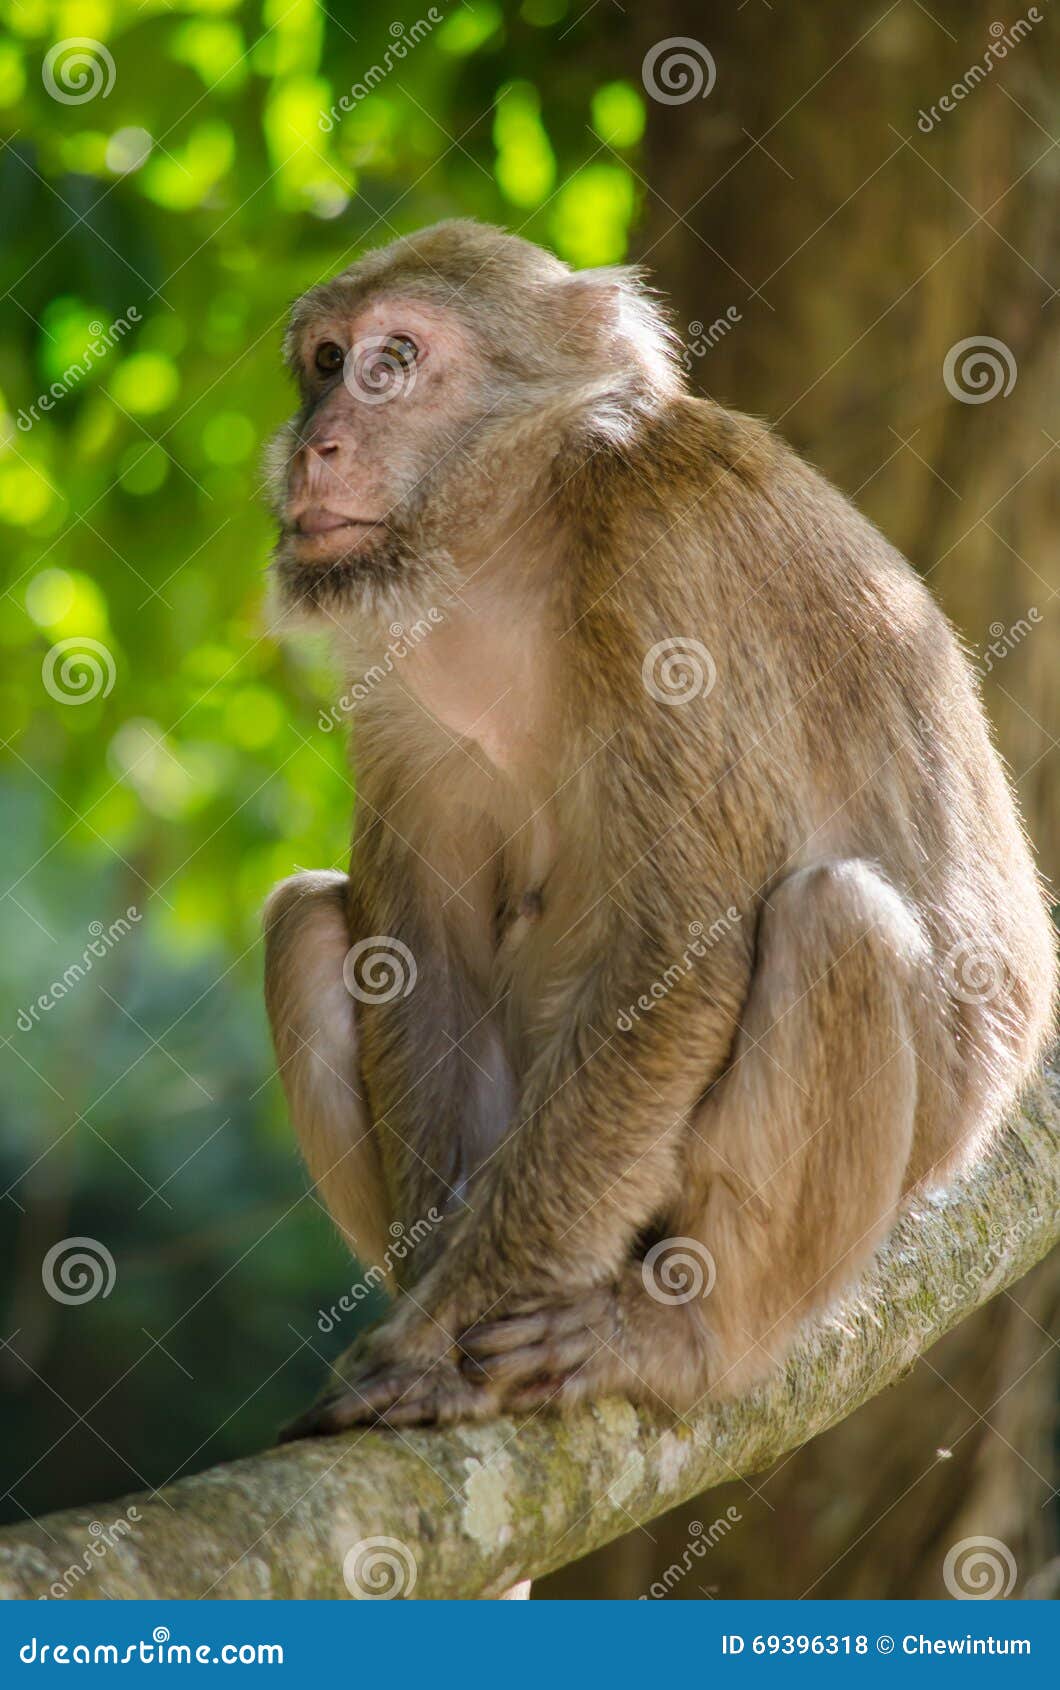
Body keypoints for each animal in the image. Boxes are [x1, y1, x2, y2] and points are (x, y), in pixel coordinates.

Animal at [262, 220, 1056, 1437]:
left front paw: (436, 1339)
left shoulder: (661, 566)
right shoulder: (405, 673)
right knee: (306, 923)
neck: (522, 538)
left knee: (837, 919)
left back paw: (684, 1338)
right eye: (324, 361)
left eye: (395, 359)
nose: (317, 447)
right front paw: (437, 1295)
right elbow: (419, 955)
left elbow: (676, 955)